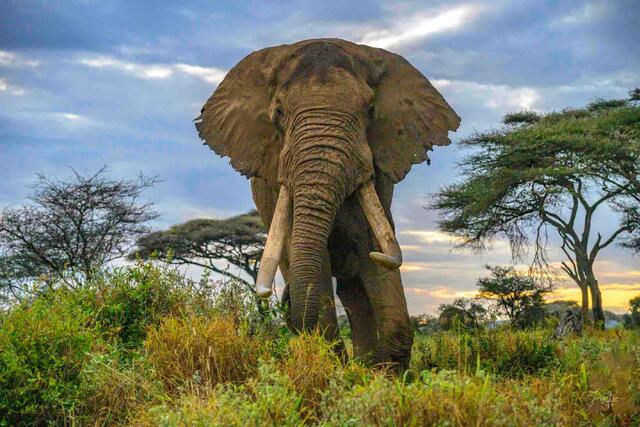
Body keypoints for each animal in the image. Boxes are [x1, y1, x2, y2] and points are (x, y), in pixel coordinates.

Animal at [195, 38, 459, 369]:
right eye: (279, 113)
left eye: (370, 110)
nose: (285, 303)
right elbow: (313, 262)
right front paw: (338, 365)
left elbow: (374, 252)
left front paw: (382, 374)